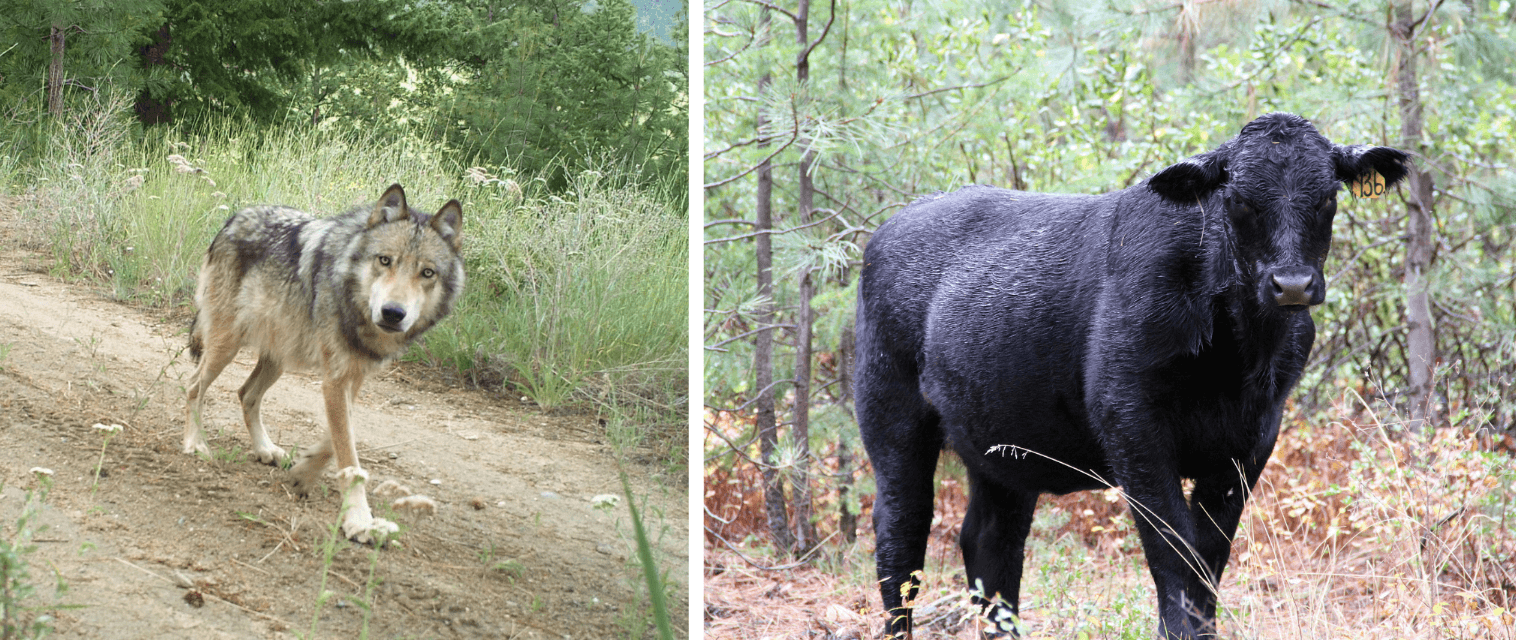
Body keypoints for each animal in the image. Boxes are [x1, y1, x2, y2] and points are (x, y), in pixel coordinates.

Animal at [183, 184, 464, 544]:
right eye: (384, 260)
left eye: (427, 272)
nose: (393, 313)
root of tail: (234, 217)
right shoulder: (335, 380)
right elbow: (349, 456)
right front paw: (360, 522)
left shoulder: (351, 378)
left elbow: (337, 440)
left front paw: (304, 473)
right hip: (225, 345)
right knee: (195, 386)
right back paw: (195, 444)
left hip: (279, 356)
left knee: (246, 394)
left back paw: (265, 449)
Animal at [853, 112, 1408, 639]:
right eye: (1238, 201)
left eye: (1328, 198)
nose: (1291, 284)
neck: (1236, 358)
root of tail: (895, 223)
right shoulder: (1131, 425)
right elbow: (1174, 548)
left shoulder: (1251, 440)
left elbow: (1210, 556)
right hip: (892, 416)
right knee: (901, 531)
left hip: (1001, 444)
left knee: (990, 543)